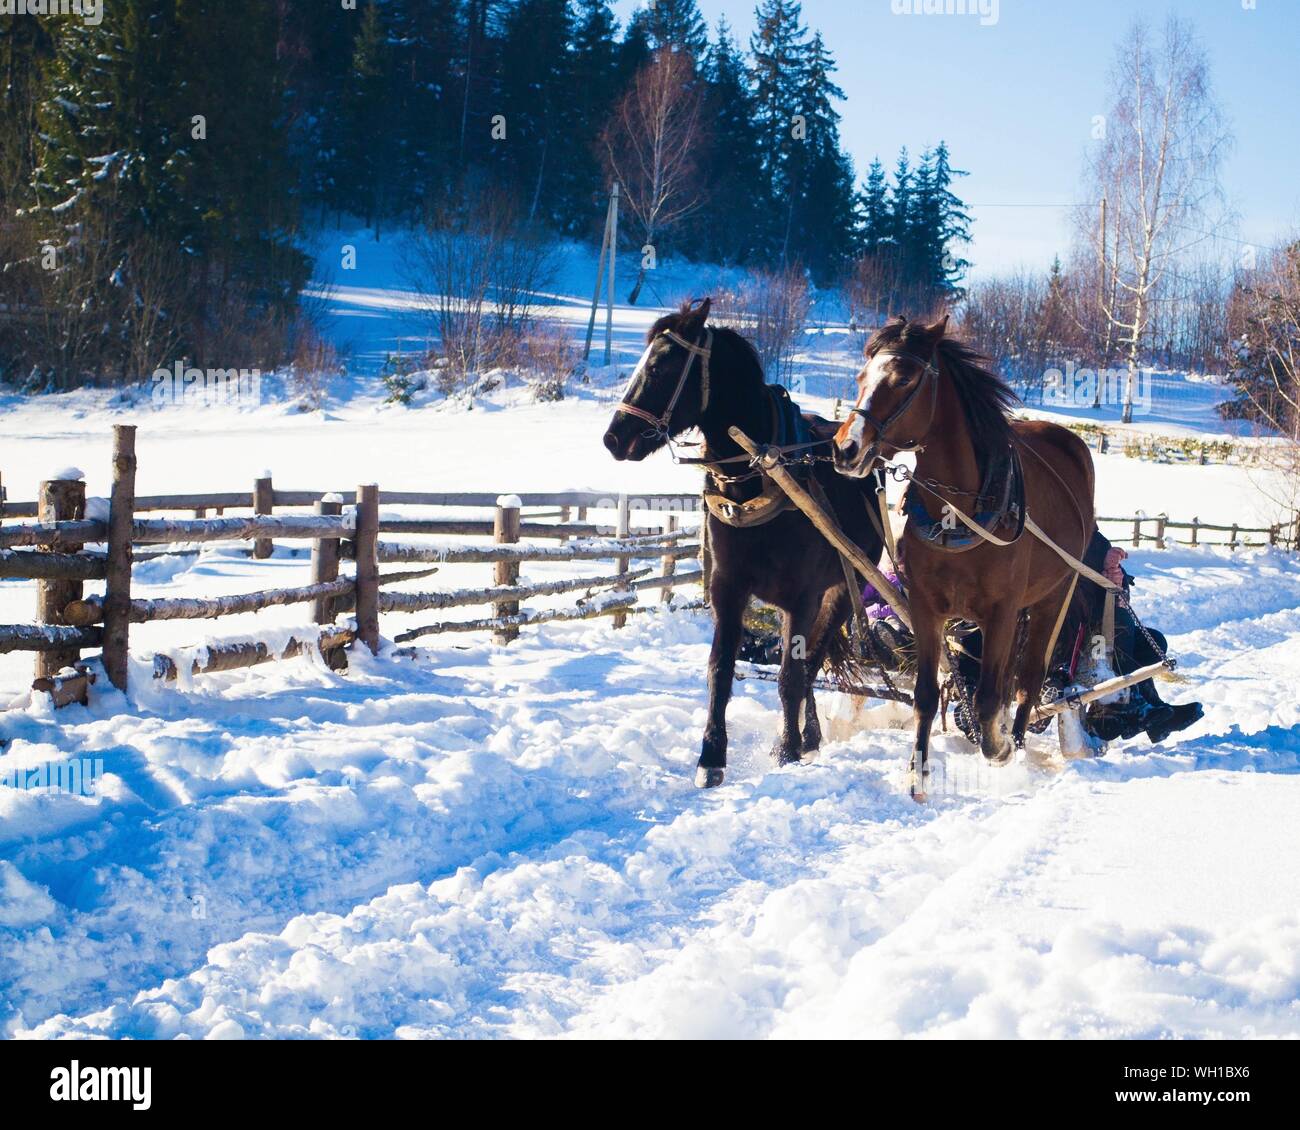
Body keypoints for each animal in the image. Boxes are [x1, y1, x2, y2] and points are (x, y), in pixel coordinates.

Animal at [603, 298, 885, 788]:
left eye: (660, 366)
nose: (614, 438)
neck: (760, 477)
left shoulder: (803, 598)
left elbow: (791, 675)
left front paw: (786, 751)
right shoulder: (728, 589)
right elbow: (721, 669)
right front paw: (711, 756)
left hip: (844, 590)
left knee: (812, 662)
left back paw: (803, 737)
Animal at [832, 316, 1095, 800]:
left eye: (904, 377)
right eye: (861, 378)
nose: (846, 448)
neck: (959, 513)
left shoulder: (1002, 612)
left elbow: (989, 700)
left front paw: (1001, 749)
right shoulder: (925, 607)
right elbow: (926, 694)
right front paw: (917, 776)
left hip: (1053, 598)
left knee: (1028, 681)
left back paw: (1018, 745)